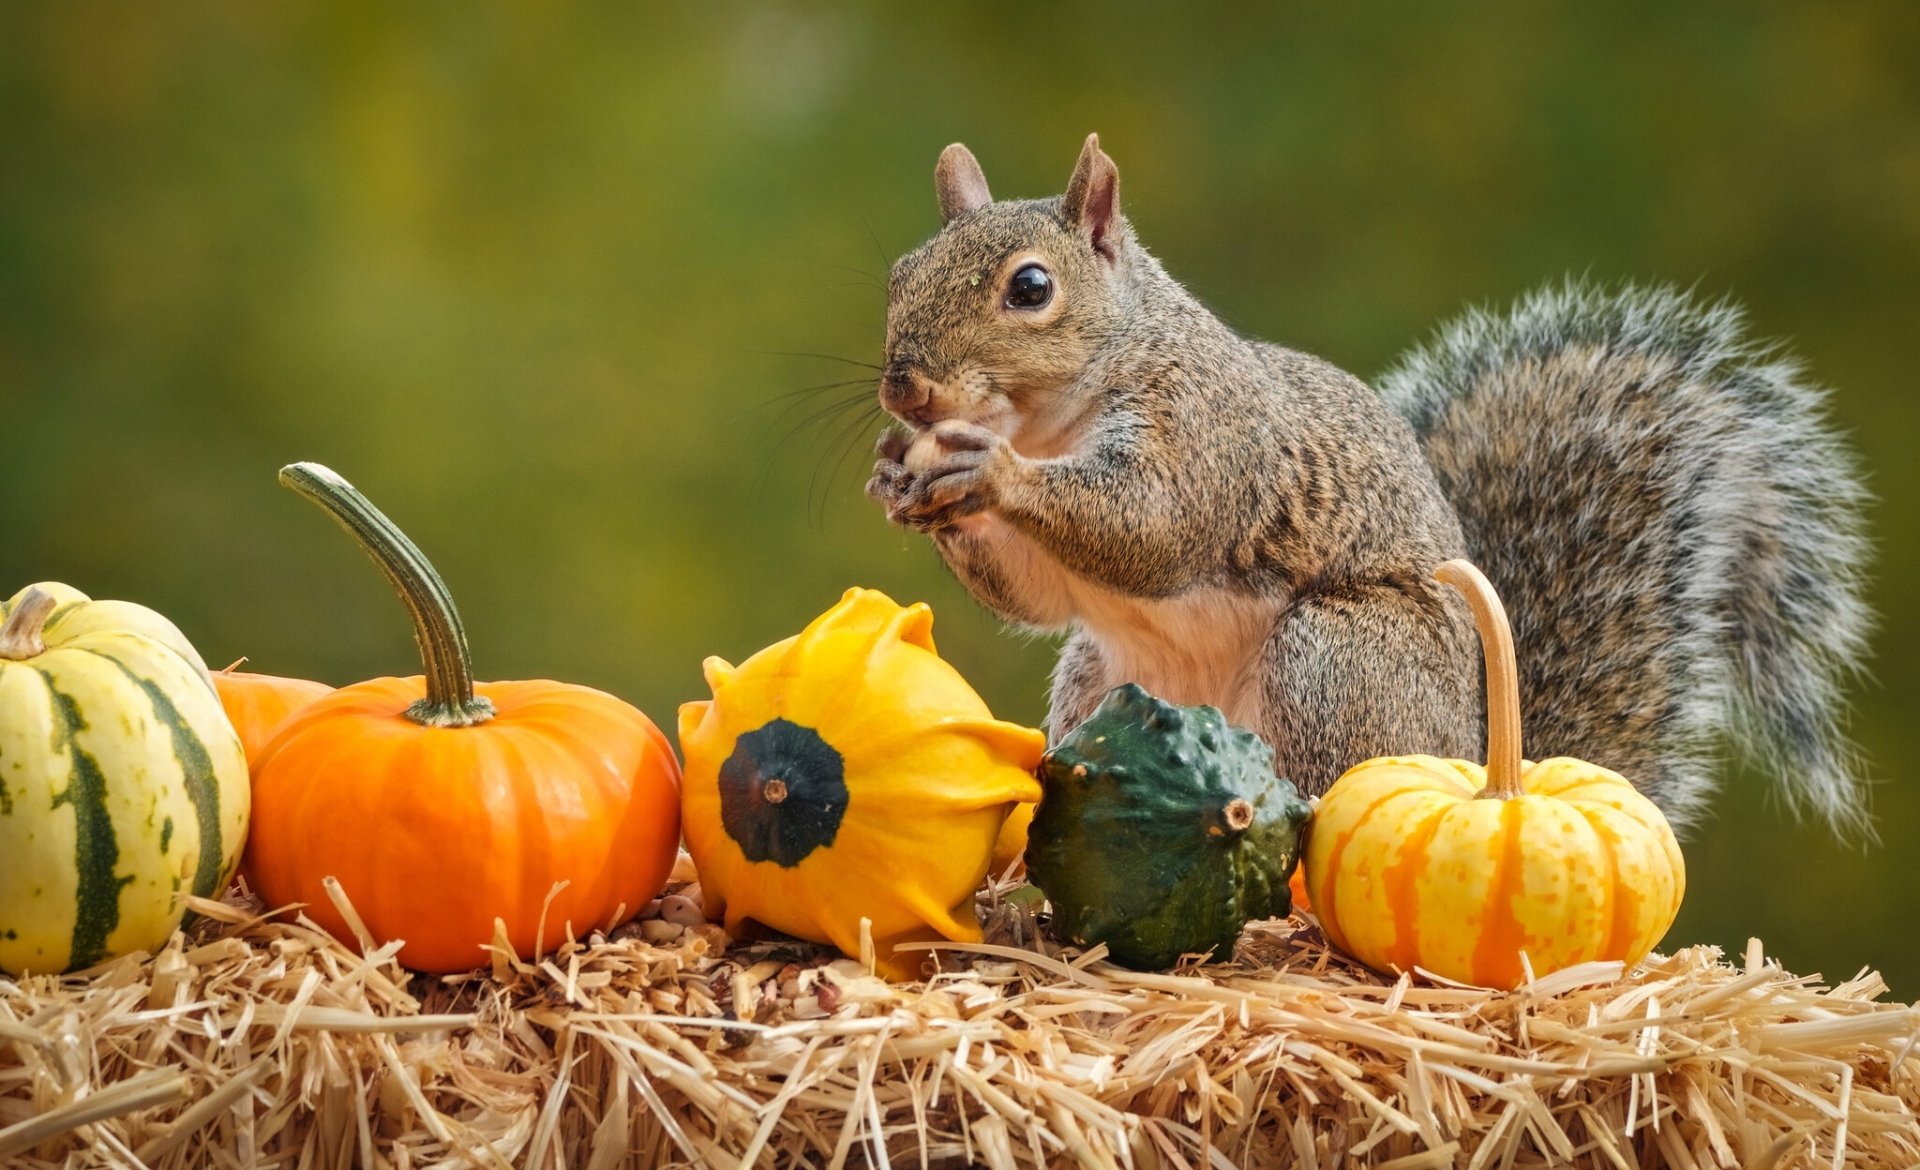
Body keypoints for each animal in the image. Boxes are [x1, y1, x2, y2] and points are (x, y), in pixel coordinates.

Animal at [865, 133, 1872, 836]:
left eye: (1031, 288)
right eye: (899, 273)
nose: (904, 387)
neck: (1048, 425)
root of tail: (1483, 759)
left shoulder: (1211, 435)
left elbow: (1154, 529)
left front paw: (987, 472)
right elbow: (1035, 595)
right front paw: (901, 476)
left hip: (1339, 661)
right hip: (1096, 685)